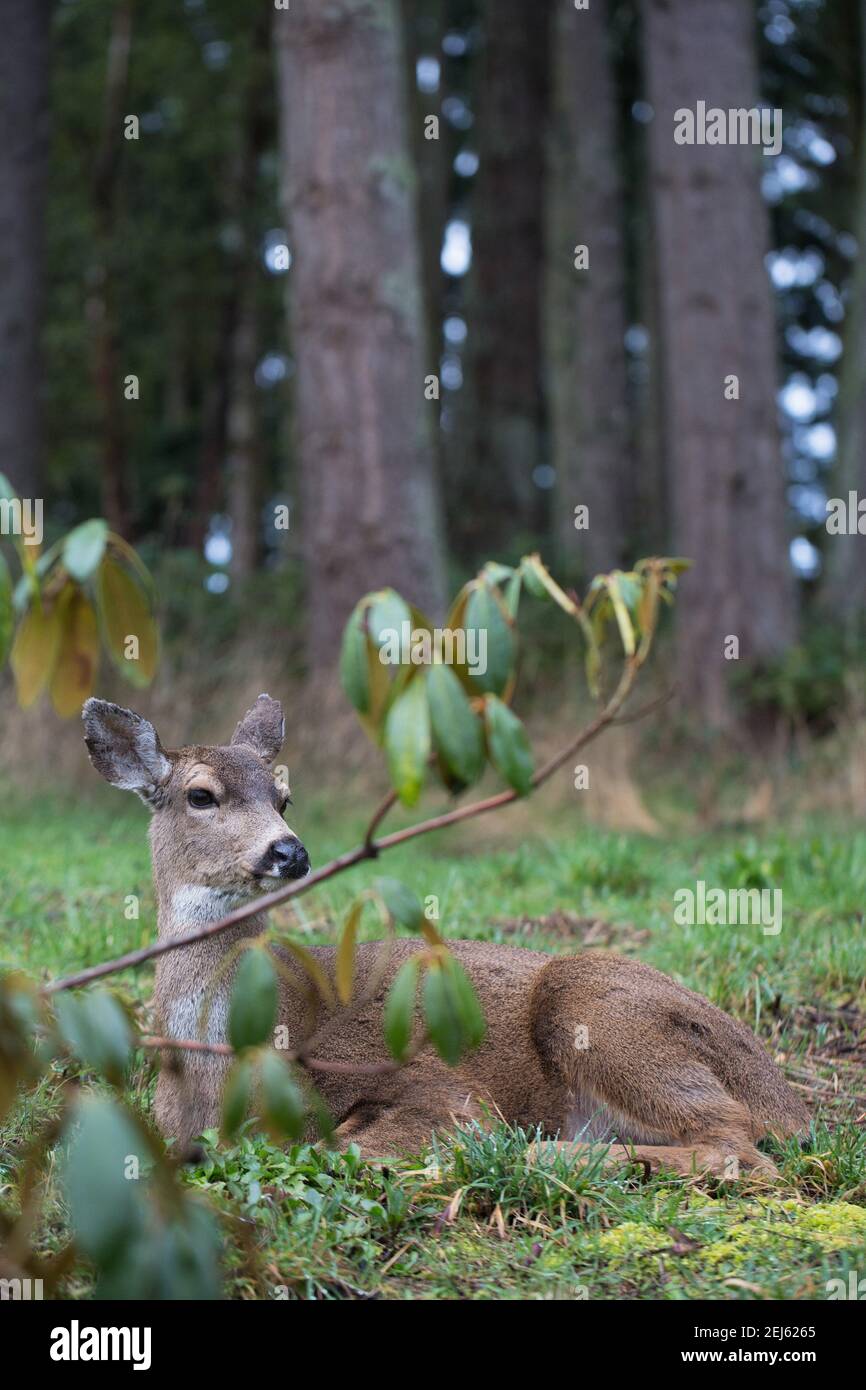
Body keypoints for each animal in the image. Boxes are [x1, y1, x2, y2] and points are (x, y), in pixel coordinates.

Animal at [82, 694, 808, 1177]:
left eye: (284, 799)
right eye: (200, 795)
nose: (291, 852)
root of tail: (786, 1097)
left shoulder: (431, 1082)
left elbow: (351, 1143)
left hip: (597, 1007)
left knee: (741, 1148)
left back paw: (548, 1151)